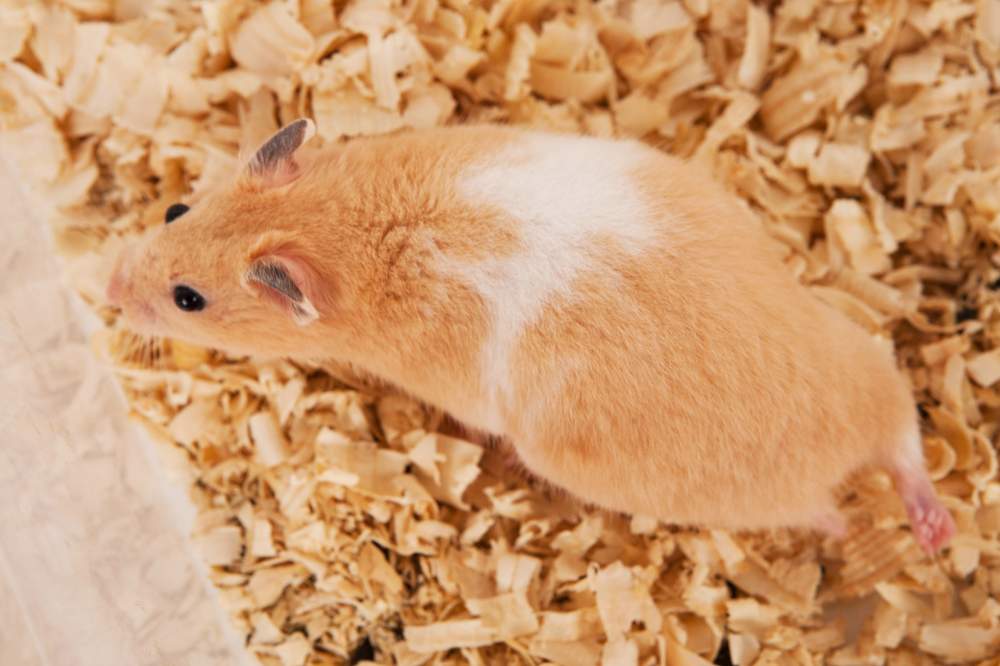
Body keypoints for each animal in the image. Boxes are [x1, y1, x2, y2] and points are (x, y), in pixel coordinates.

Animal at [106, 118, 955, 554]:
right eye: (176, 210)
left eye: (188, 298)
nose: (108, 293)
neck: (337, 224)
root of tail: (836, 447)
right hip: (861, 357)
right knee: (906, 448)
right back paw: (934, 528)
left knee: (827, 508)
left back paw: (863, 527)